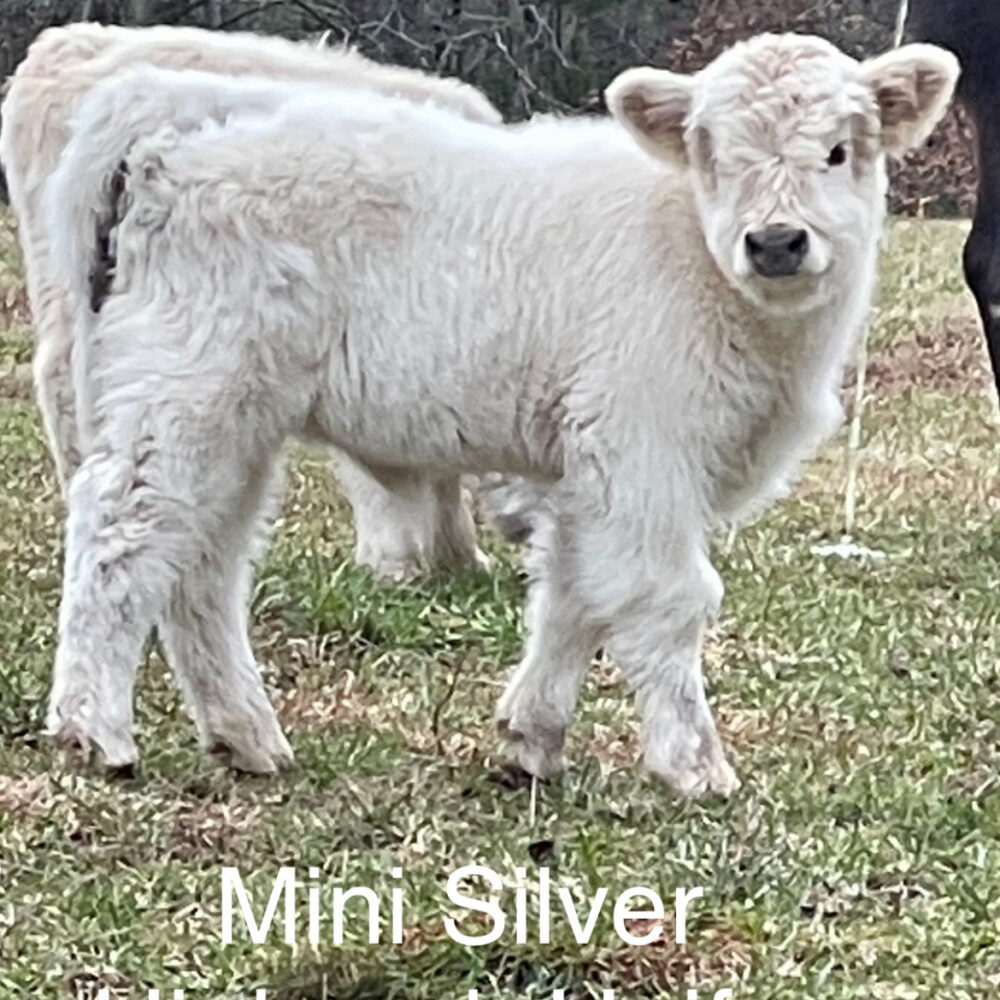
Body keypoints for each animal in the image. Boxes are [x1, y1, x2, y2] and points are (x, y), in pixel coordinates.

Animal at [43, 34, 958, 794]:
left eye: (838, 150)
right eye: (715, 156)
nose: (774, 242)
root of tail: (166, 137)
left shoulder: (588, 471)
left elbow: (574, 597)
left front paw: (532, 739)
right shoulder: (643, 449)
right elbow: (668, 597)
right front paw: (695, 767)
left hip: (237, 421)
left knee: (204, 564)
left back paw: (246, 738)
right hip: (181, 392)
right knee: (121, 535)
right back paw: (95, 733)